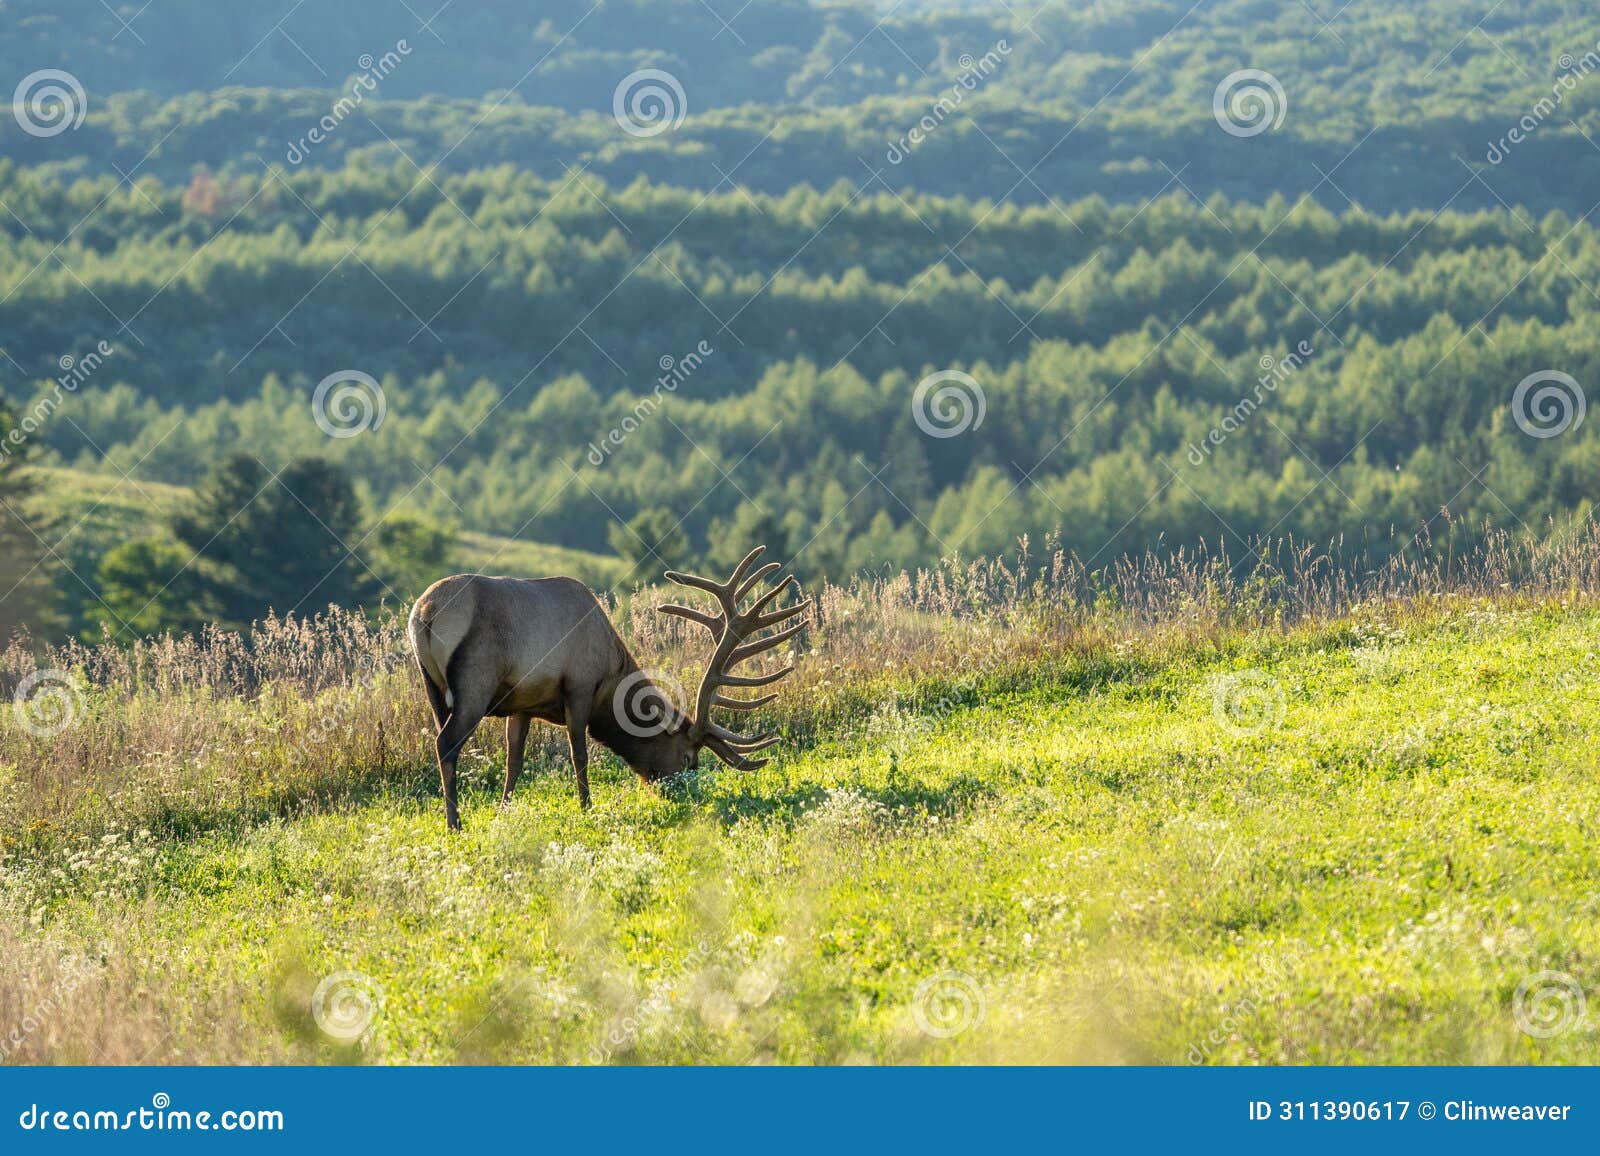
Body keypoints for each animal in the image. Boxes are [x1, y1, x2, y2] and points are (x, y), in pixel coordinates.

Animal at [407, 546, 807, 830]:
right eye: (687, 758)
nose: (689, 797)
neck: (612, 678)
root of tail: (425, 613)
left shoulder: (523, 703)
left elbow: (514, 760)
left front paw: (505, 811)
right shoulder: (580, 684)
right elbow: (579, 754)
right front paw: (587, 807)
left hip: (433, 687)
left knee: (442, 740)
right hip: (475, 681)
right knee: (446, 742)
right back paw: (454, 823)